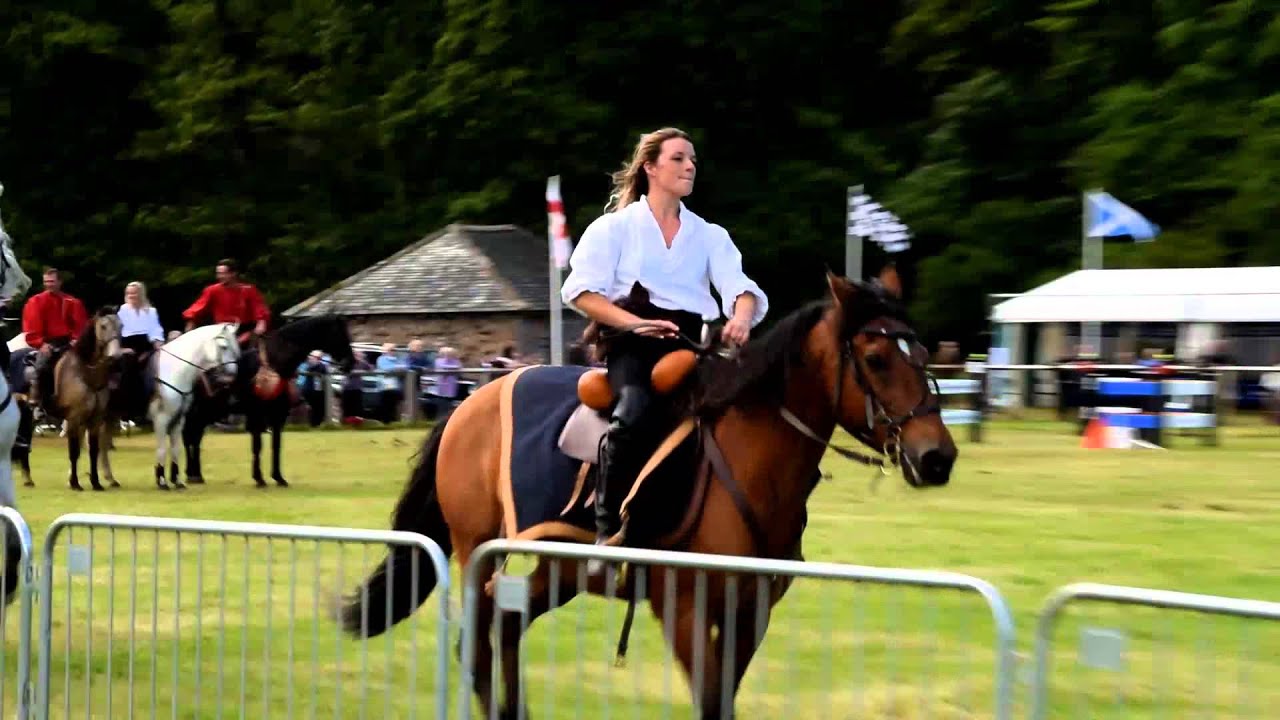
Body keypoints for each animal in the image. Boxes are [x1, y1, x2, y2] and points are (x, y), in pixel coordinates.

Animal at [51, 307, 123, 491]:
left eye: (121, 325)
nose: (116, 357)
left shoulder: (95, 420)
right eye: (103, 326)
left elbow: (93, 450)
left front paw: (96, 482)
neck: (86, 374)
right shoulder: (73, 419)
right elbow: (74, 451)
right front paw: (75, 483)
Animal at [148, 323, 241, 490]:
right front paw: (162, 481)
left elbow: (178, 447)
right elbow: (164, 448)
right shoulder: (162, 419)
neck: (173, 372)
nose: (232, 376)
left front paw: (178, 480)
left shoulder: (181, 420)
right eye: (224, 347)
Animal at [181, 314, 355, 488]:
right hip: (198, 412)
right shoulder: (256, 414)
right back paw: (192, 474)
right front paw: (259, 478)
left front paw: (278, 477)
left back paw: (195, 474)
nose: (350, 364)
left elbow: (276, 445)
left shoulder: (278, 415)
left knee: (194, 437)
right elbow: (257, 445)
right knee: (189, 436)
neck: (275, 364)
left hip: (206, 412)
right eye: (340, 334)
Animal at [338, 265, 958, 719]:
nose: (937, 458)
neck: (747, 465)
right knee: (478, 646)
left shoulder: (750, 612)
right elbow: (711, 702)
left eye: (925, 357)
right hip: (479, 555)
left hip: (552, 571)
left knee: (505, 635)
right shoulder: (682, 607)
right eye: (875, 358)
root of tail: (468, 404)